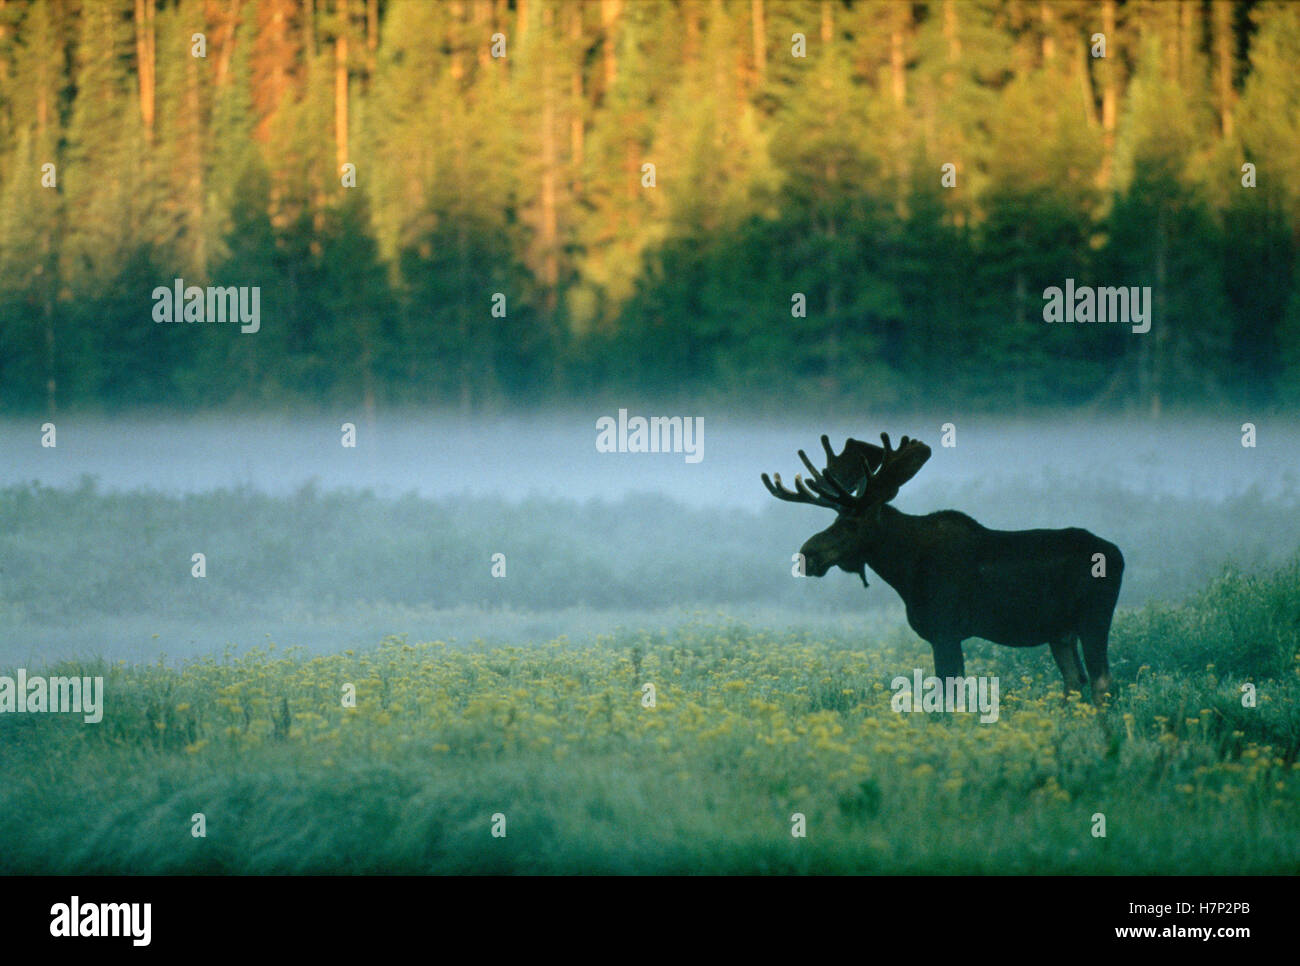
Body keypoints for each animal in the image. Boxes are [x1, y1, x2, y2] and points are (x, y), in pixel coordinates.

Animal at [762, 433, 1124, 704]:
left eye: (851, 522)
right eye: (834, 519)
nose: (807, 554)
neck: (903, 570)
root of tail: (1118, 555)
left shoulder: (945, 629)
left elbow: (950, 696)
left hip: (1094, 617)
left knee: (1101, 679)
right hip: (1060, 631)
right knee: (1074, 681)